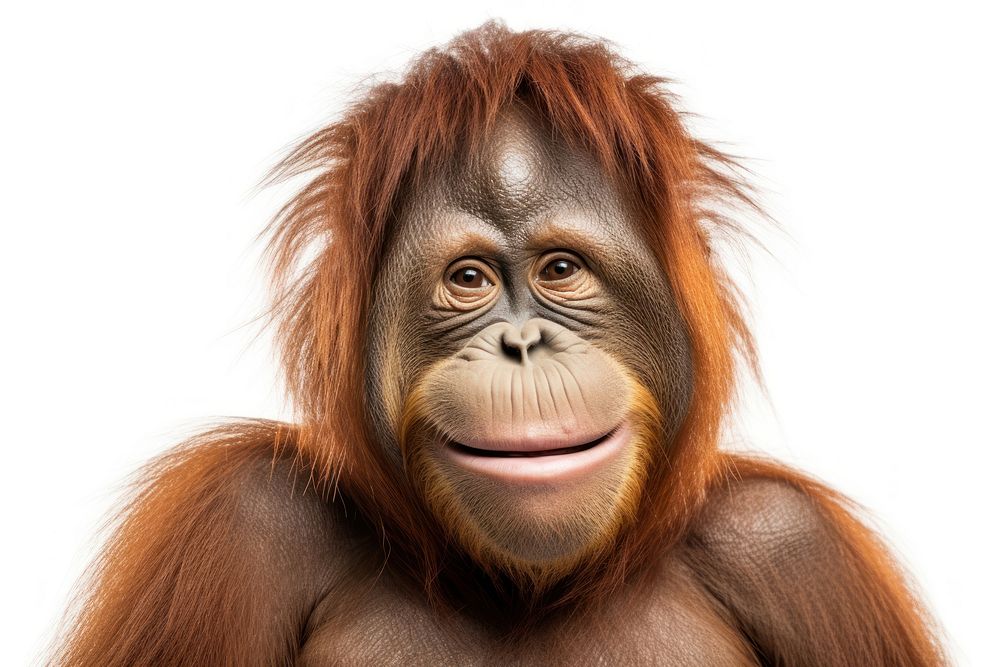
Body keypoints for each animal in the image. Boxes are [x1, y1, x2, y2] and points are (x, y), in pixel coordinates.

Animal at [54, 21, 945, 666]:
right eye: (470, 279)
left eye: (560, 270)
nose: (521, 343)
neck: (526, 592)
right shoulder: (236, 518)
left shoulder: (792, 544)